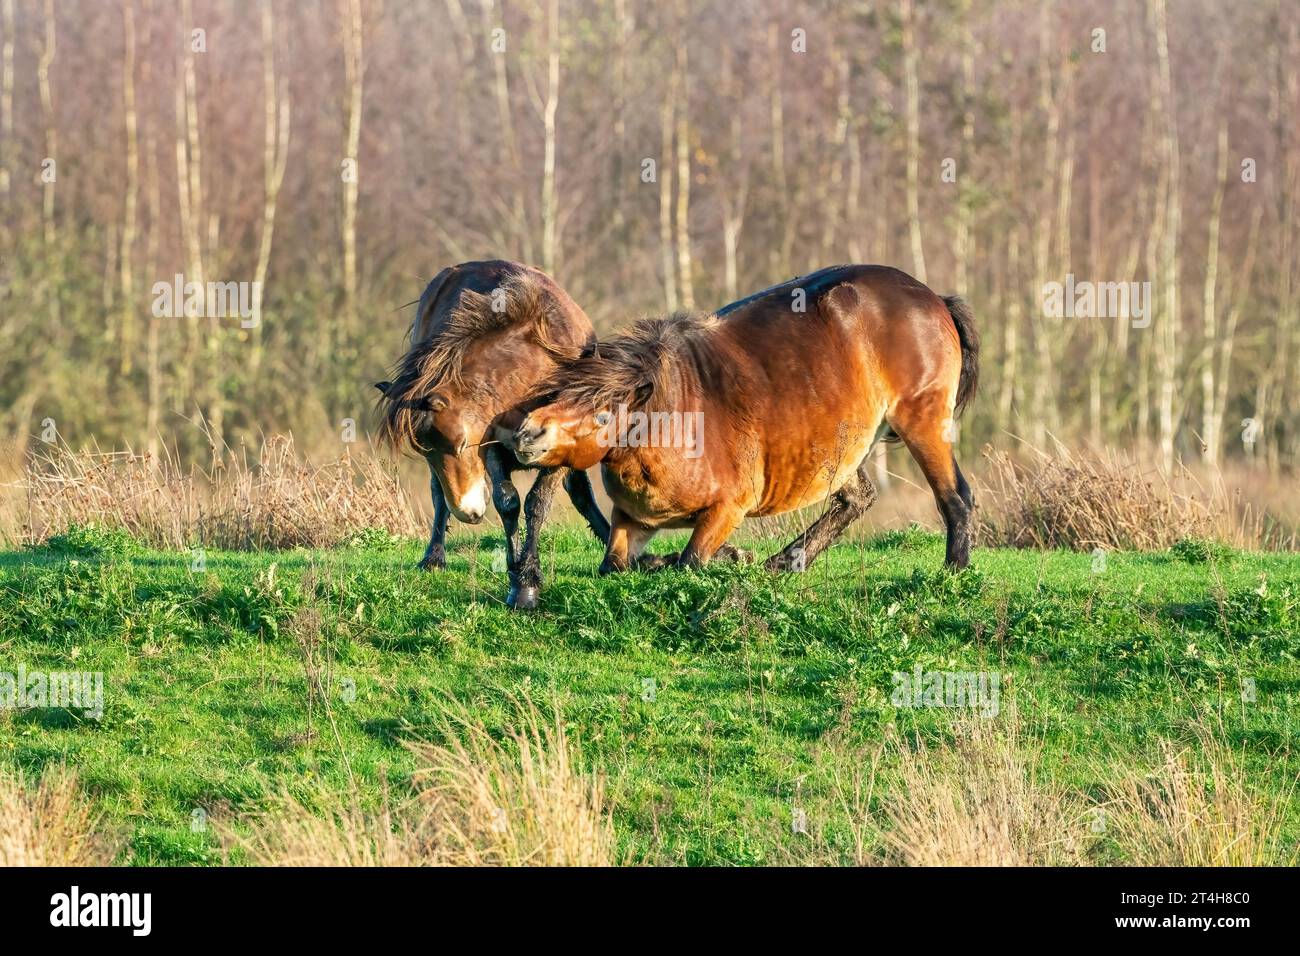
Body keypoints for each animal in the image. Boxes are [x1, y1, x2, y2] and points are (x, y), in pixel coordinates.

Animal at [375, 260, 609, 609]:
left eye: (461, 444)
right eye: (425, 450)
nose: (468, 512)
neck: (531, 375)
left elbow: (537, 503)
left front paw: (527, 580)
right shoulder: (492, 448)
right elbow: (508, 502)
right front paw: (518, 580)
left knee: (579, 489)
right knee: (438, 494)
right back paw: (434, 557)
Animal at [507, 264, 979, 573]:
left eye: (604, 414)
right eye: (560, 392)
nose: (530, 434)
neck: (676, 415)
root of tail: (934, 298)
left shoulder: (727, 509)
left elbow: (690, 562)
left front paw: (729, 557)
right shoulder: (632, 521)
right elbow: (617, 565)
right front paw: (733, 558)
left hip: (922, 422)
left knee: (955, 497)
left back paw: (952, 572)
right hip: (839, 451)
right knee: (855, 500)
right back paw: (783, 562)